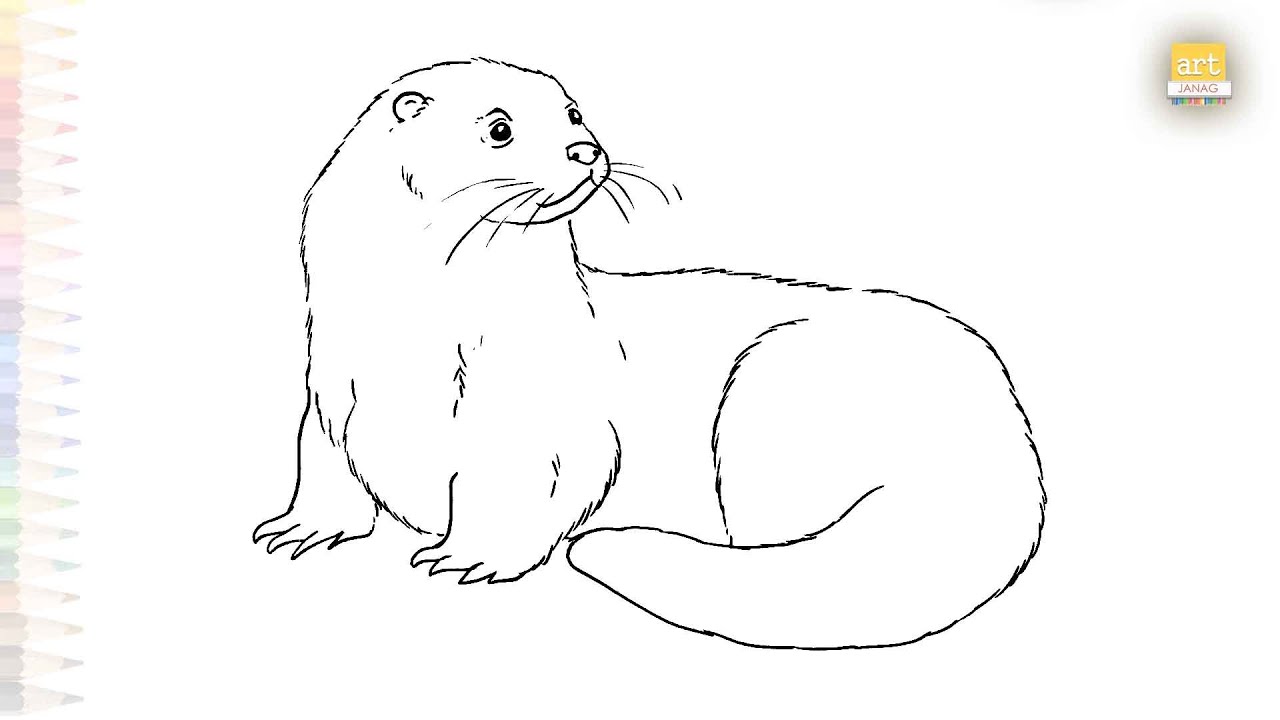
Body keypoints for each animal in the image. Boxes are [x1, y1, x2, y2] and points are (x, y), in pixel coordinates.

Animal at [254, 58, 1046, 650]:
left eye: (573, 115)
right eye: (499, 129)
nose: (586, 150)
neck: (415, 351)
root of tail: (999, 430)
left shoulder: (541, 419)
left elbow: (527, 490)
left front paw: (469, 555)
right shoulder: (329, 386)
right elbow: (324, 467)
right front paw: (301, 527)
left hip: (773, 390)